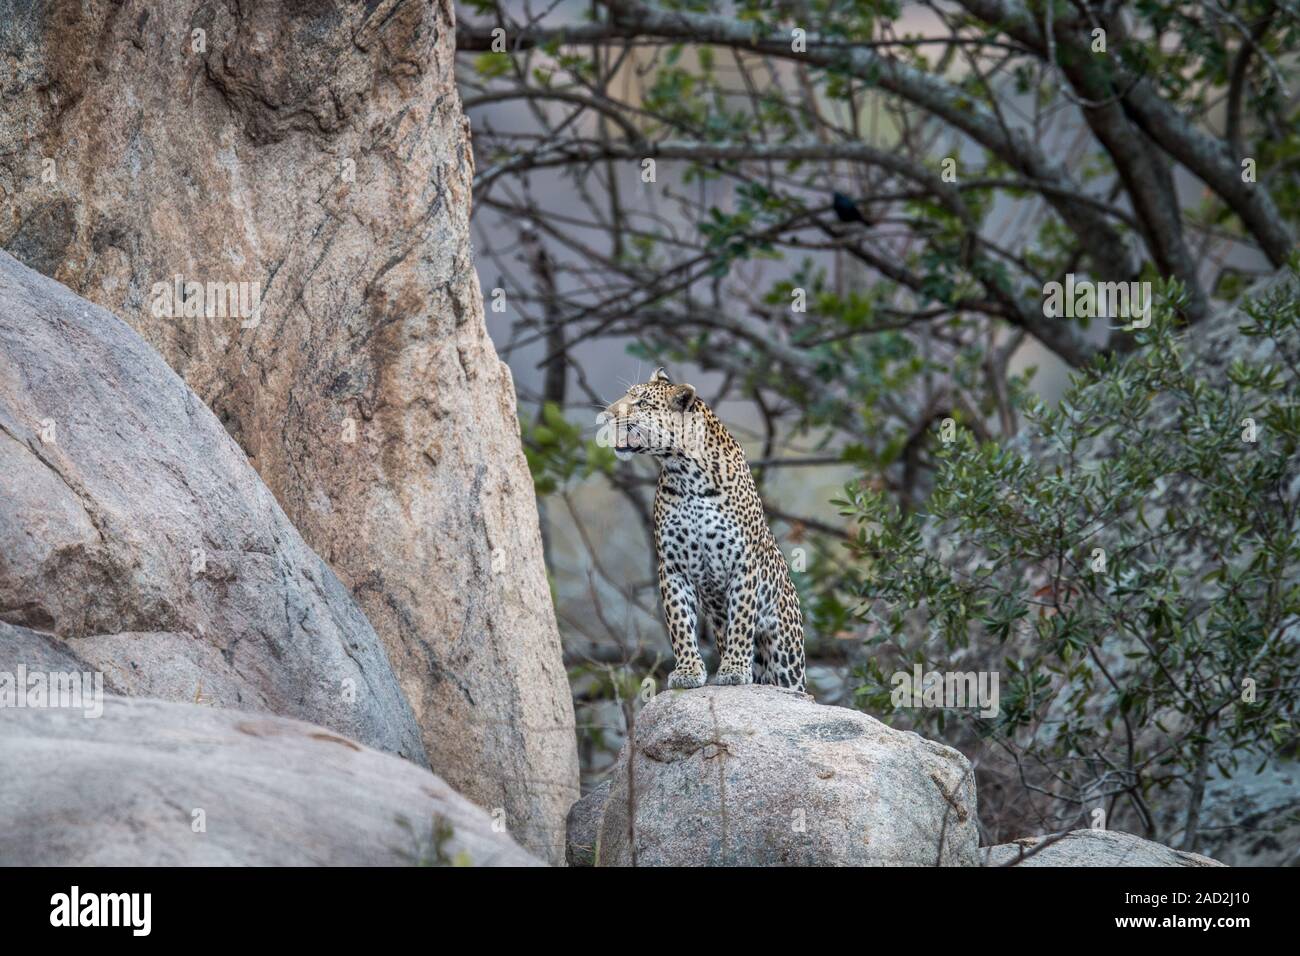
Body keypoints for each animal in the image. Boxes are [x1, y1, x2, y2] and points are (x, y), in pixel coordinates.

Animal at [599, 367, 807, 692]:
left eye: (642, 403)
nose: (607, 415)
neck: (685, 473)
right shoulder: (672, 566)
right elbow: (680, 623)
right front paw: (687, 671)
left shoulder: (743, 562)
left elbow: (741, 621)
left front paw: (734, 669)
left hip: (786, 654)